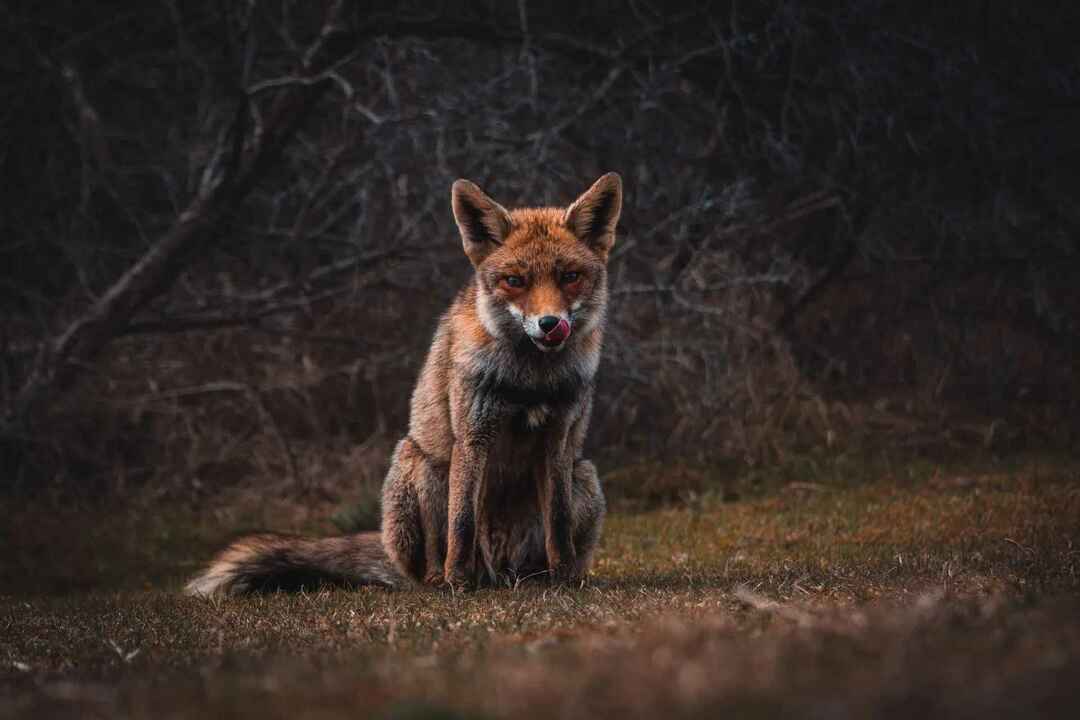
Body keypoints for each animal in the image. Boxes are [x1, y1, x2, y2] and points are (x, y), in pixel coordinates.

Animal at [186, 171, 626, 595]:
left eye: (570, 277)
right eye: (515, 281)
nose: (550, 324)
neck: (530, 381)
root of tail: (502, 573)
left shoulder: (558, 440)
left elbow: (558, 524)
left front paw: (565, 579)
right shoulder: (473, 435)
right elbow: (462, 523)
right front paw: (458, 584)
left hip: (583, 474)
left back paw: (544, 578)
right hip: (422, 466)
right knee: (434, 557)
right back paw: (444, 581)